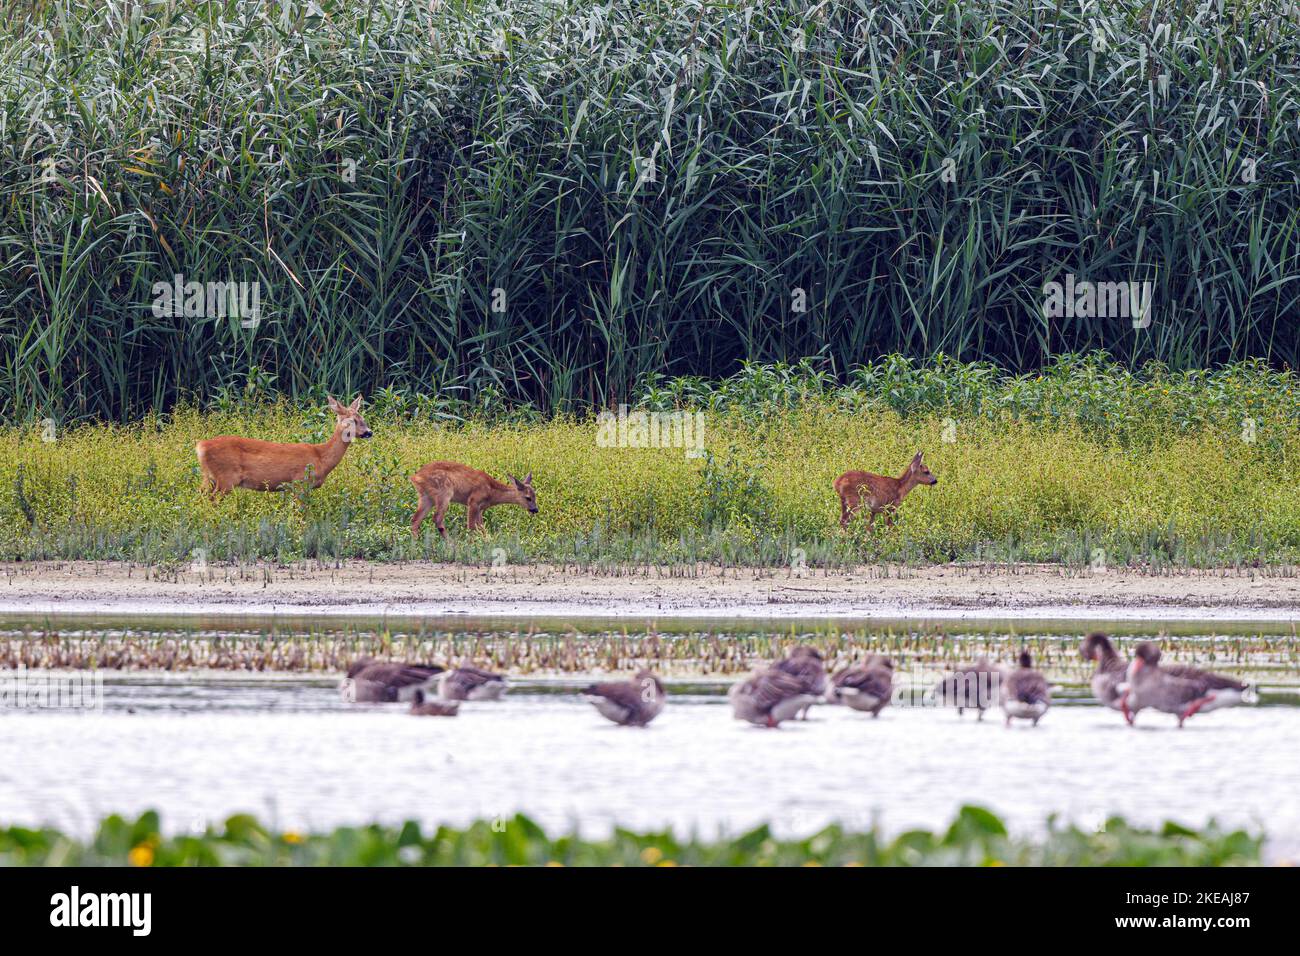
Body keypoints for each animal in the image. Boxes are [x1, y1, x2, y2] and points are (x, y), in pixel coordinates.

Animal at [195, 395, 371, 500]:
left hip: (211, 478)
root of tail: (201, 446)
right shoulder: (299, 483)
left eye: (362, 418)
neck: (321, 456)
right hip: (226, 478)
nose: (369, 432)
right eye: (352, 420)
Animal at [410, 461, 538, 540]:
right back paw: (451, 542)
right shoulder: (473, 501)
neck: (491, 491)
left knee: (415, 519)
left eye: (535, 495)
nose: (535, 510)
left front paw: (488, 541)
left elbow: (482, 527)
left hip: (426, 498)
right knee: (437, 519)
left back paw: (416, 542)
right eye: (528, 498)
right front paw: (472, 544)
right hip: (444, 493)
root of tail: (415, 477)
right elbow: (471, 526)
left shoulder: (480, 509)